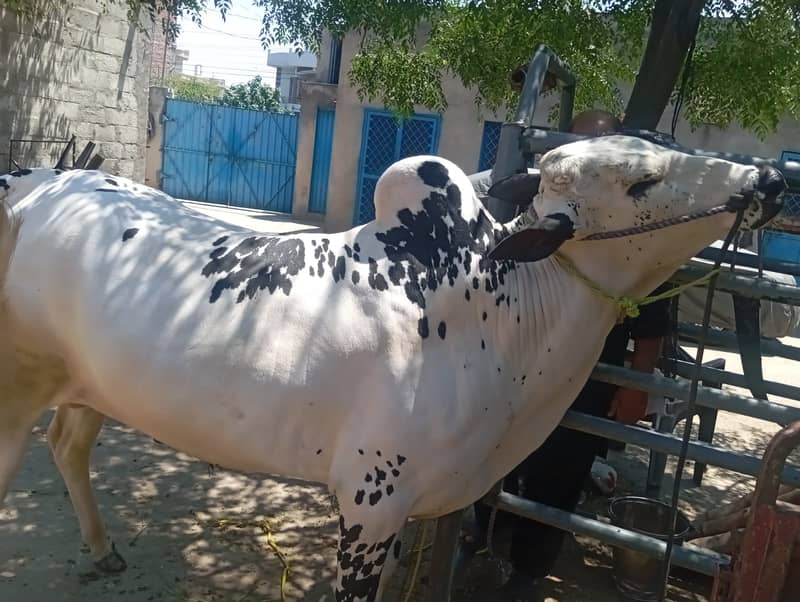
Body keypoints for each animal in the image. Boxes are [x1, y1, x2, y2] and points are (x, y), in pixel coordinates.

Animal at [0, 135, 785, 601]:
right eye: (643, 181)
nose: (771, 176)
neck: (505, 306)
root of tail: (36, 184)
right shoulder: (370, 500)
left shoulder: (410, 509)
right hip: (18, 387)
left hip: (93, 388)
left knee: (67, 445)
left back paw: (103, 549)